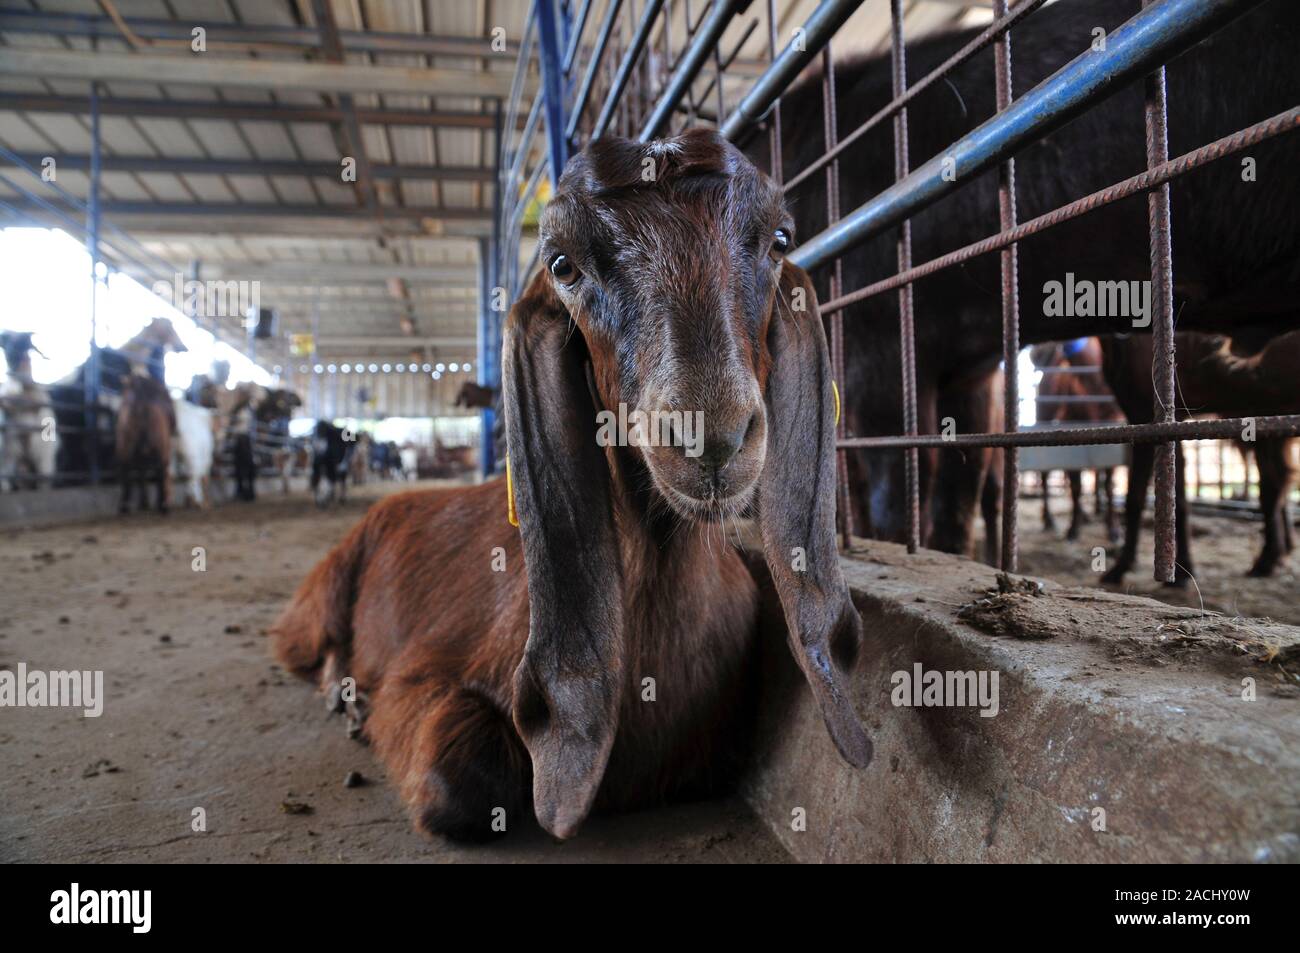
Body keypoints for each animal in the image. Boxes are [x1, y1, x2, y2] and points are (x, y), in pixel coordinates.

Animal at [0, 331, 56, 491]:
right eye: (5, 344)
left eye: (23, 343)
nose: (11, 356)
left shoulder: (38, 401)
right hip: (12, 455)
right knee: (12, 475)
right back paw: (6, 487)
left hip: (44, 460)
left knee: (44, 480)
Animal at [272, 130, 872, 841]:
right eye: (563, 264)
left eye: (779, 240)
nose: (711, 437)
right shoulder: (418, 674)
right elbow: (461, 778)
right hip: (324, 590)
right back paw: (342, 691)